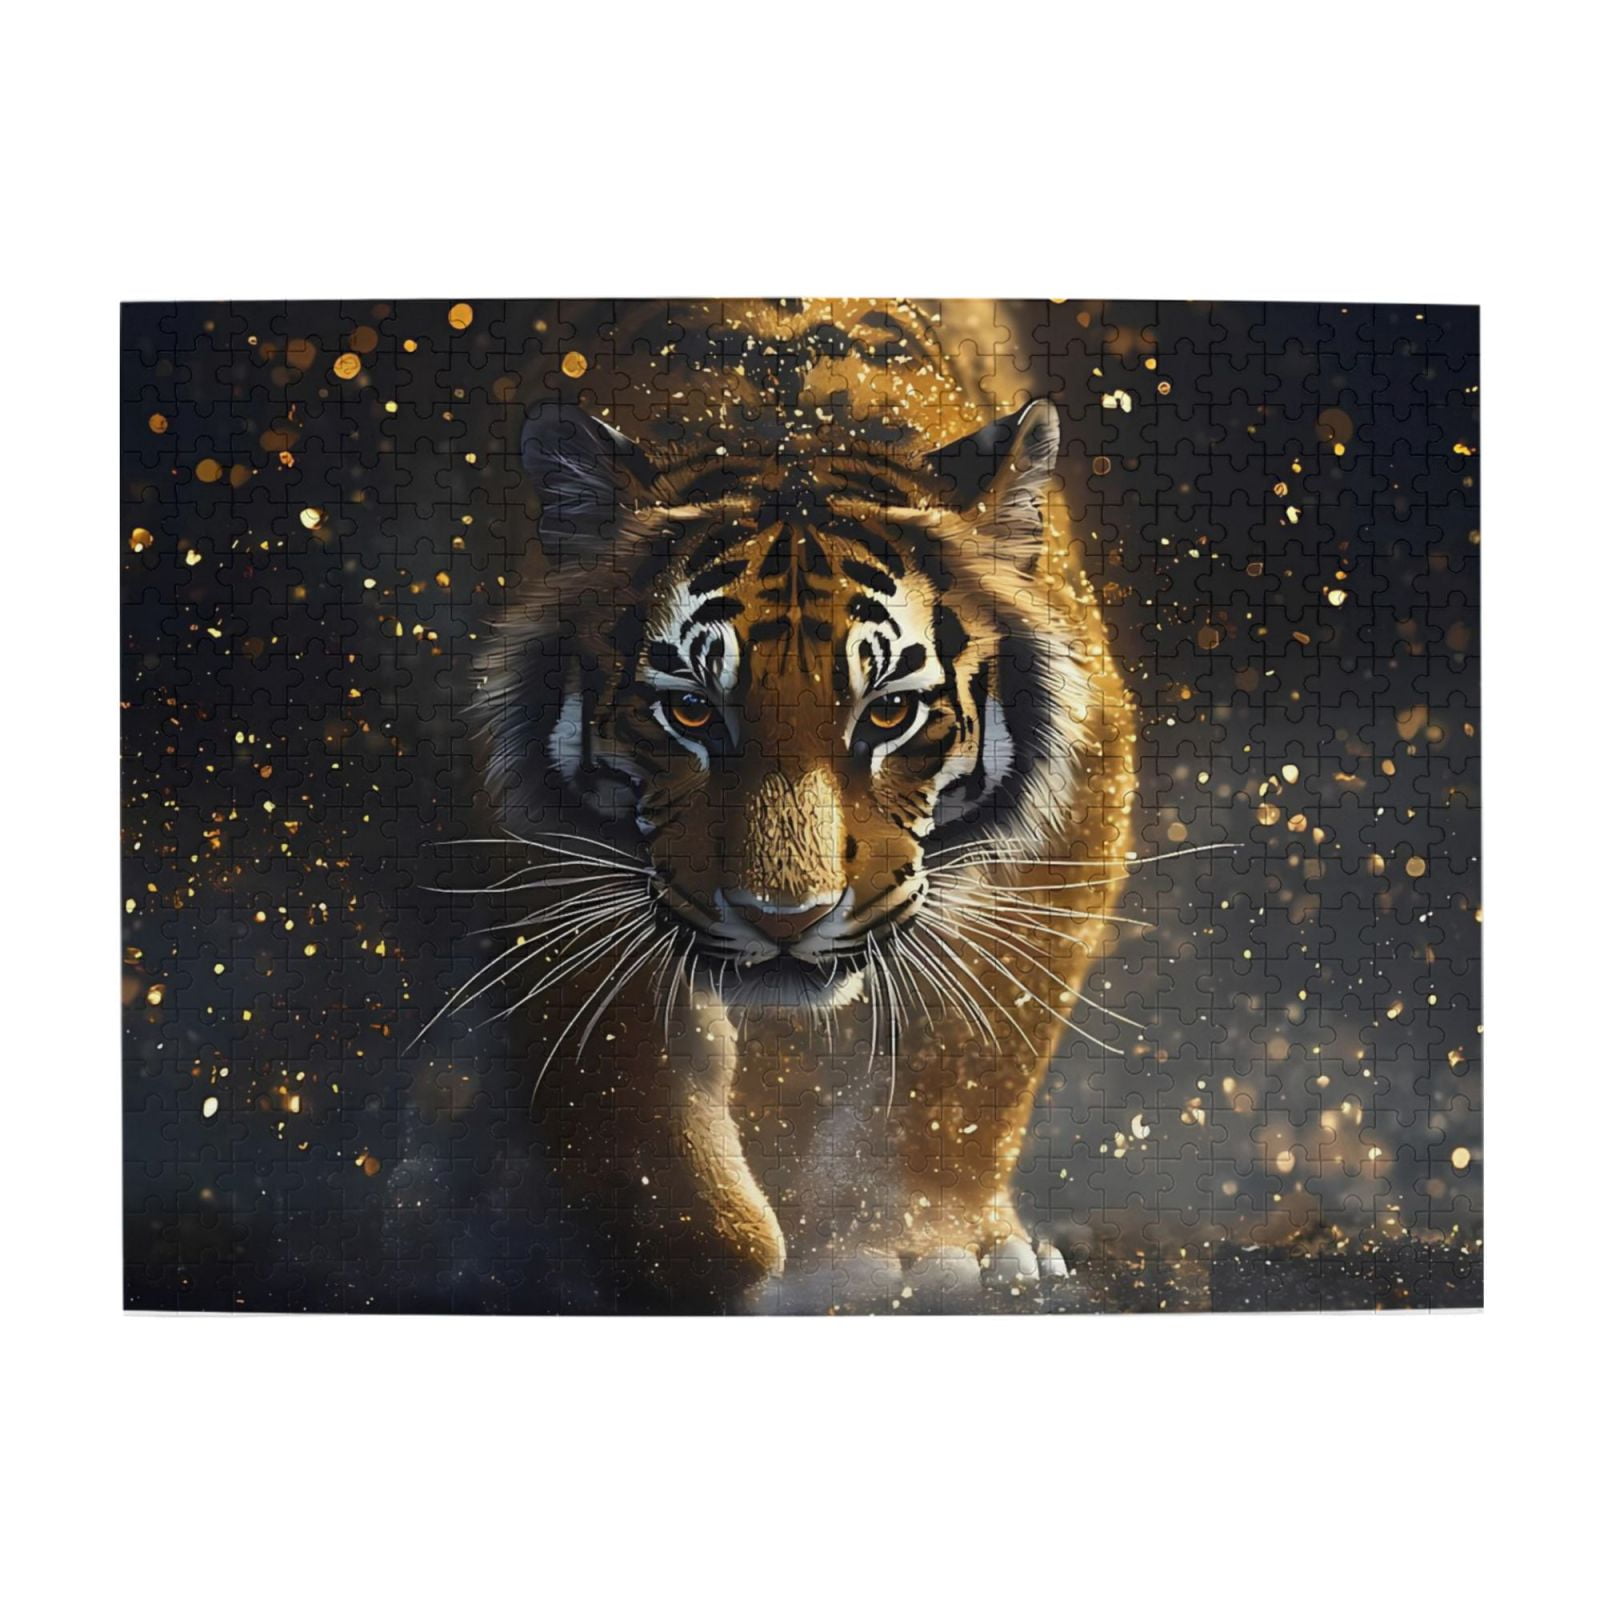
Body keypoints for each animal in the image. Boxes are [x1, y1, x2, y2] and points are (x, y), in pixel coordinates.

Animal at [474, 300, 1137, 1310]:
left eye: (890, 712)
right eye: (691, 710)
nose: (784, 920)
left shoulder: (1072, 808)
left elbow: (971, 1050)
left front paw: (932, 1250)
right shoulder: (552, 862)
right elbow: (629, 1078)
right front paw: (711, 1259)